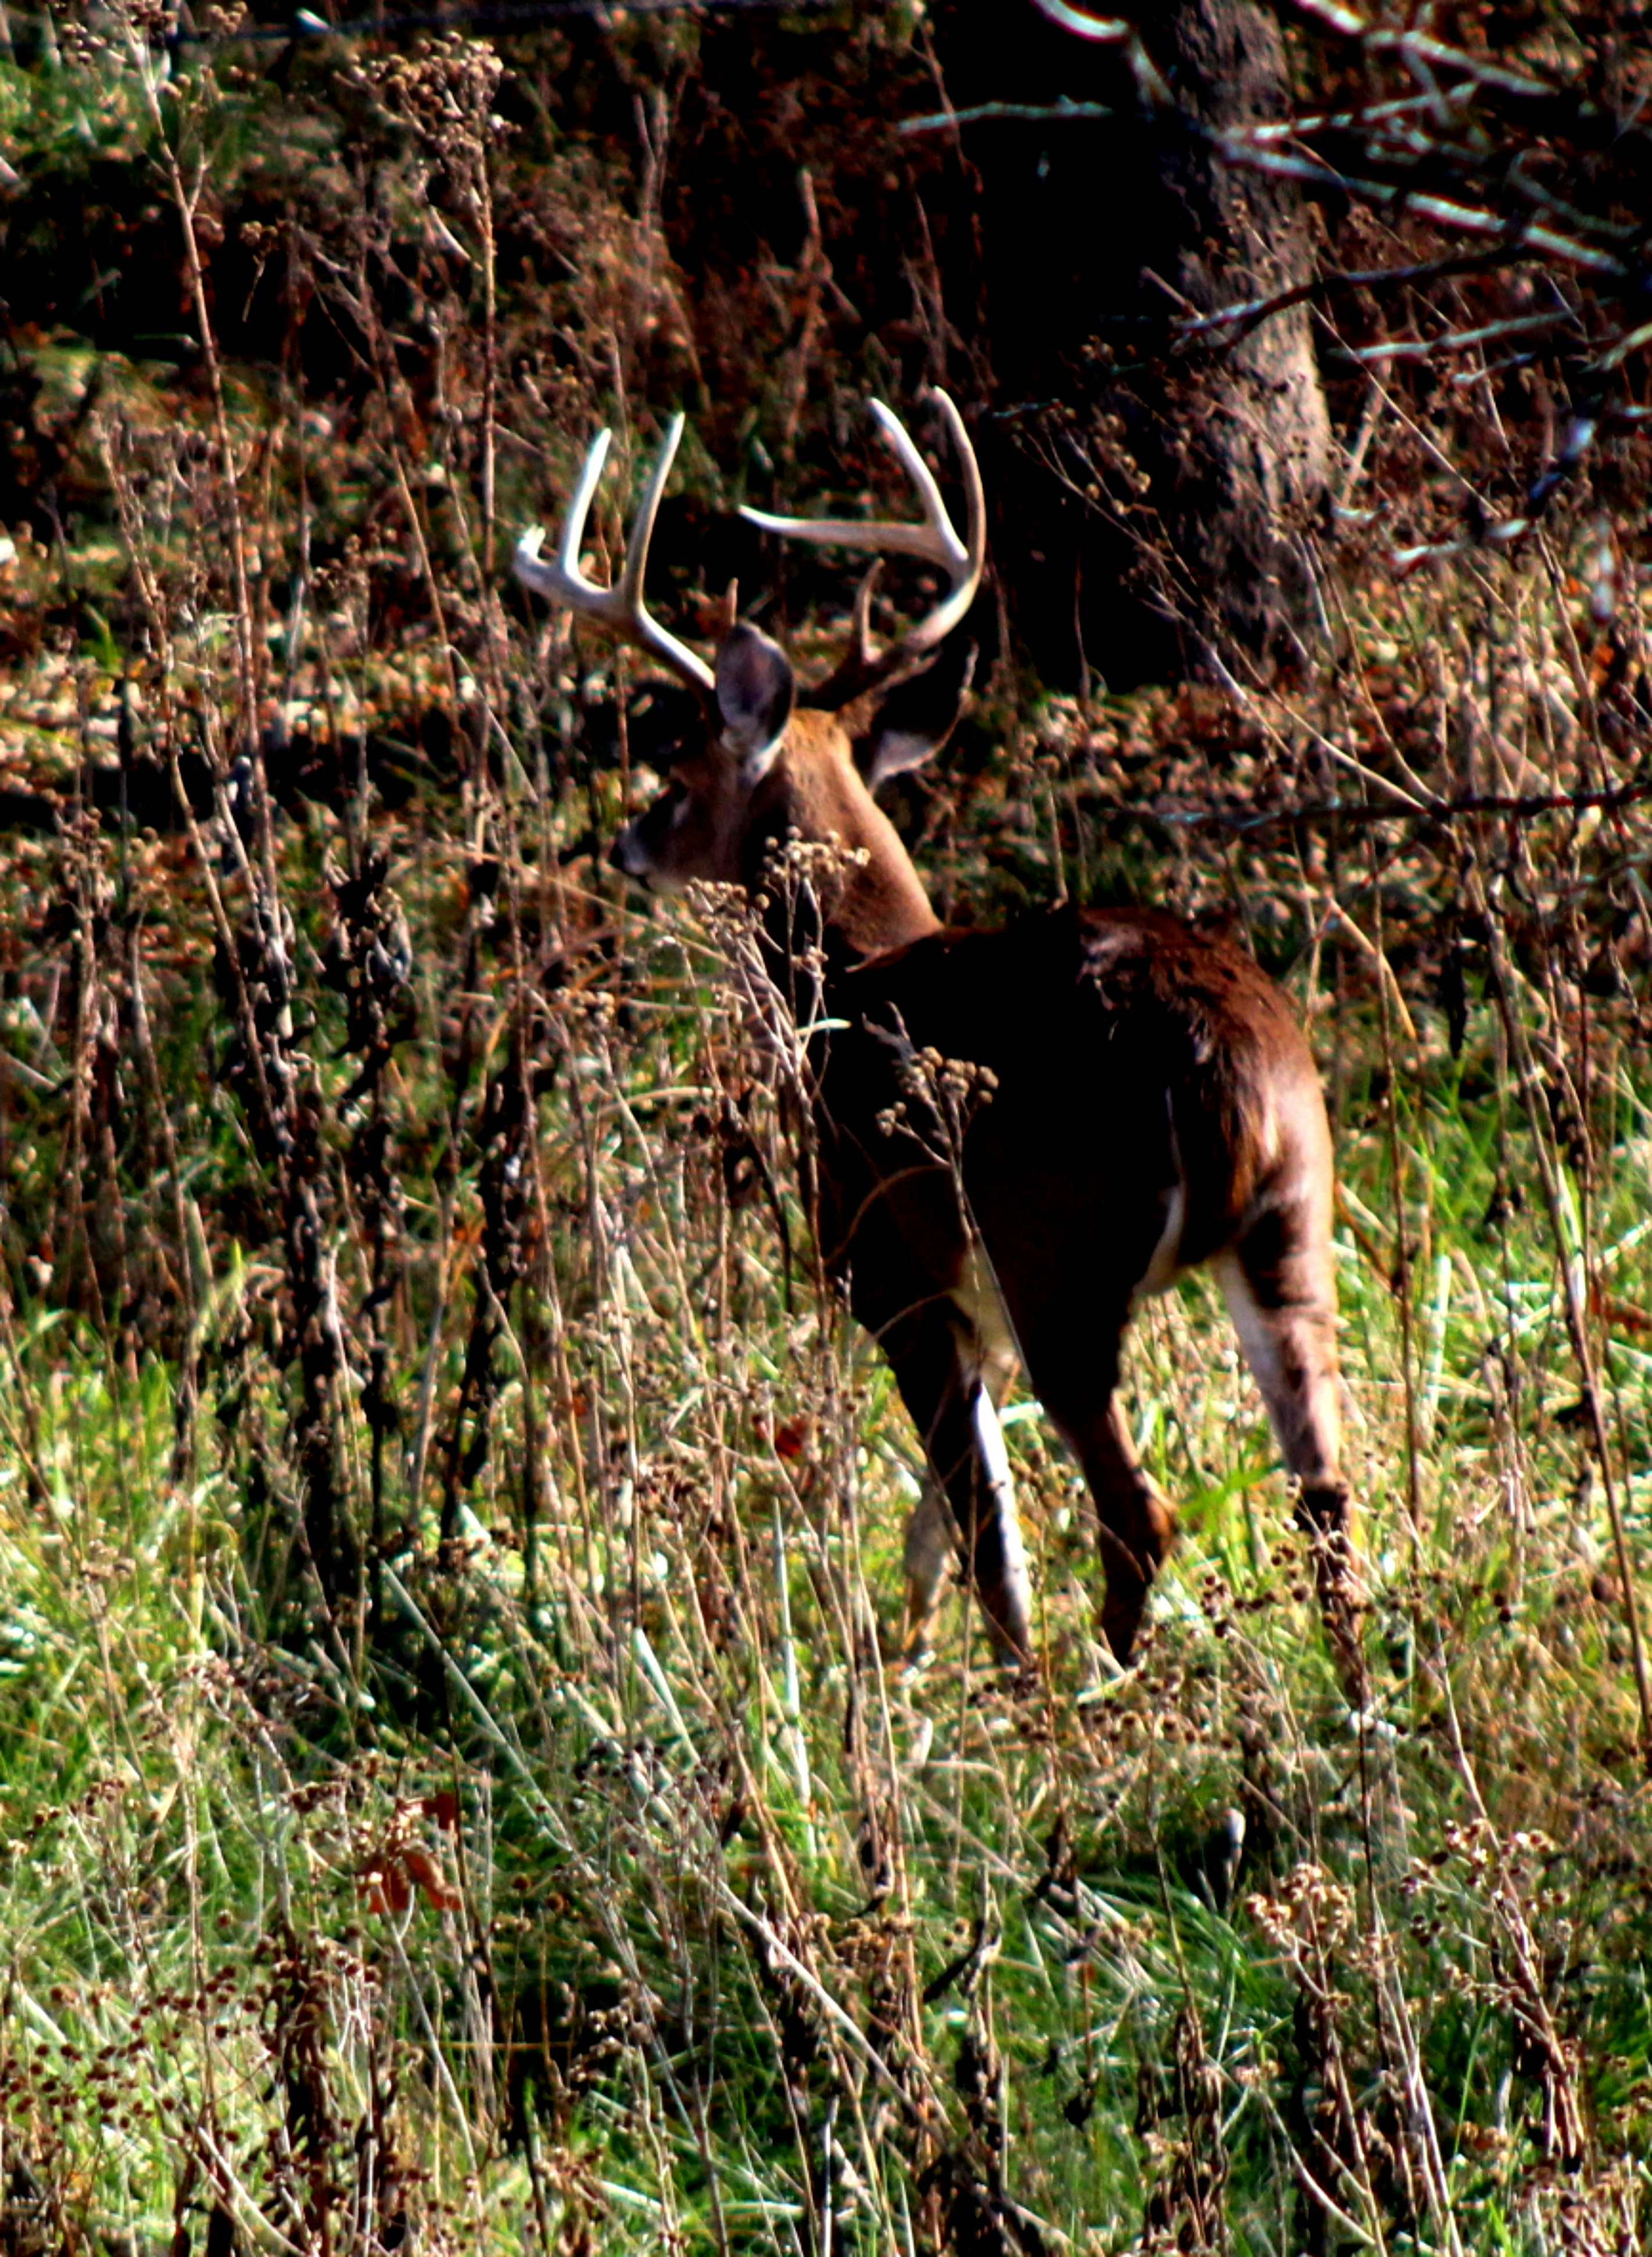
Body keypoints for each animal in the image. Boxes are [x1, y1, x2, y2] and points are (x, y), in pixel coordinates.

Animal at [516, 394, 1361, 1689]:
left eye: (681, 768)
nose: (627, 845)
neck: (851, 973)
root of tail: (1222, 1071)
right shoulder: (969, 1305)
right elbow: (939, 1516)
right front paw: (911, 1655)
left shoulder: (885, 1257)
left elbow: (978, 1517)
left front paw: (981, 1675)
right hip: (1289, 1228)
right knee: (1324, 1490)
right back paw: (1362, 1701)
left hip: (1055, 1252)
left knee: (1137, 1510)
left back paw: (1089, 1693)